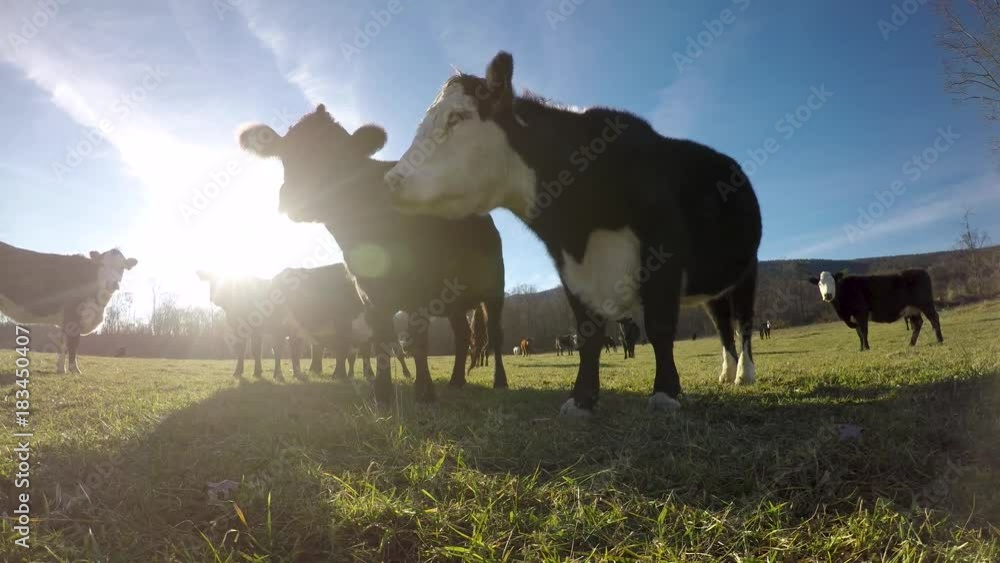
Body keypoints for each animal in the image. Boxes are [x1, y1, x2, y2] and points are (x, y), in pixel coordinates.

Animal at [0, 242, 138, 374]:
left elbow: (64, 344)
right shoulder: (73, 315)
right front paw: (74, 369)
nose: (112, 283)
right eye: (102, 264)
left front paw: (61, 369)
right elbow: (73, 344)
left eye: (122, 267)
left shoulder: (67, 321)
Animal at [237, 107, 508, 404]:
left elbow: (417, 340)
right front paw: (382, 391)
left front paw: (424, 391)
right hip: (454, 300)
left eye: (339, 154)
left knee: (495, 333)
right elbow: (381, 340)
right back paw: (457, 380)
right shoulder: (368, 292)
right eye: (285, 154)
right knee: (462, 334)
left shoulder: (419, 287)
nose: (296, 197)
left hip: (494, 287)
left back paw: (499, 381)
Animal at [385, 51, 763, 415]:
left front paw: (665, 393)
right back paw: (726, 372)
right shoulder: (570, 267)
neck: (582, 223)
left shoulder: (663, 252)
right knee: (722, 325)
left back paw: (744, 374)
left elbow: (658, 327)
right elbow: (588, 334)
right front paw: (582, 398)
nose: (391, 180)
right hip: (713, 289)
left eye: (457, 117)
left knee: (742, 322)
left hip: (747, 271)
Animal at [807, 270, 943, 351]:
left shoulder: (861, 312)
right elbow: (858, 333)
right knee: (917, 324)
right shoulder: (854, 317)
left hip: (925, 304)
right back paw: (911, 344)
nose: (828, 295)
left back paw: (939, 340)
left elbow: (863, 331)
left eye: (833, 281)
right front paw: (861, 349)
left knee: (934, 319)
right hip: (912, 309)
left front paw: (867, 348)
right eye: (819, 284)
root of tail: (921, 271)